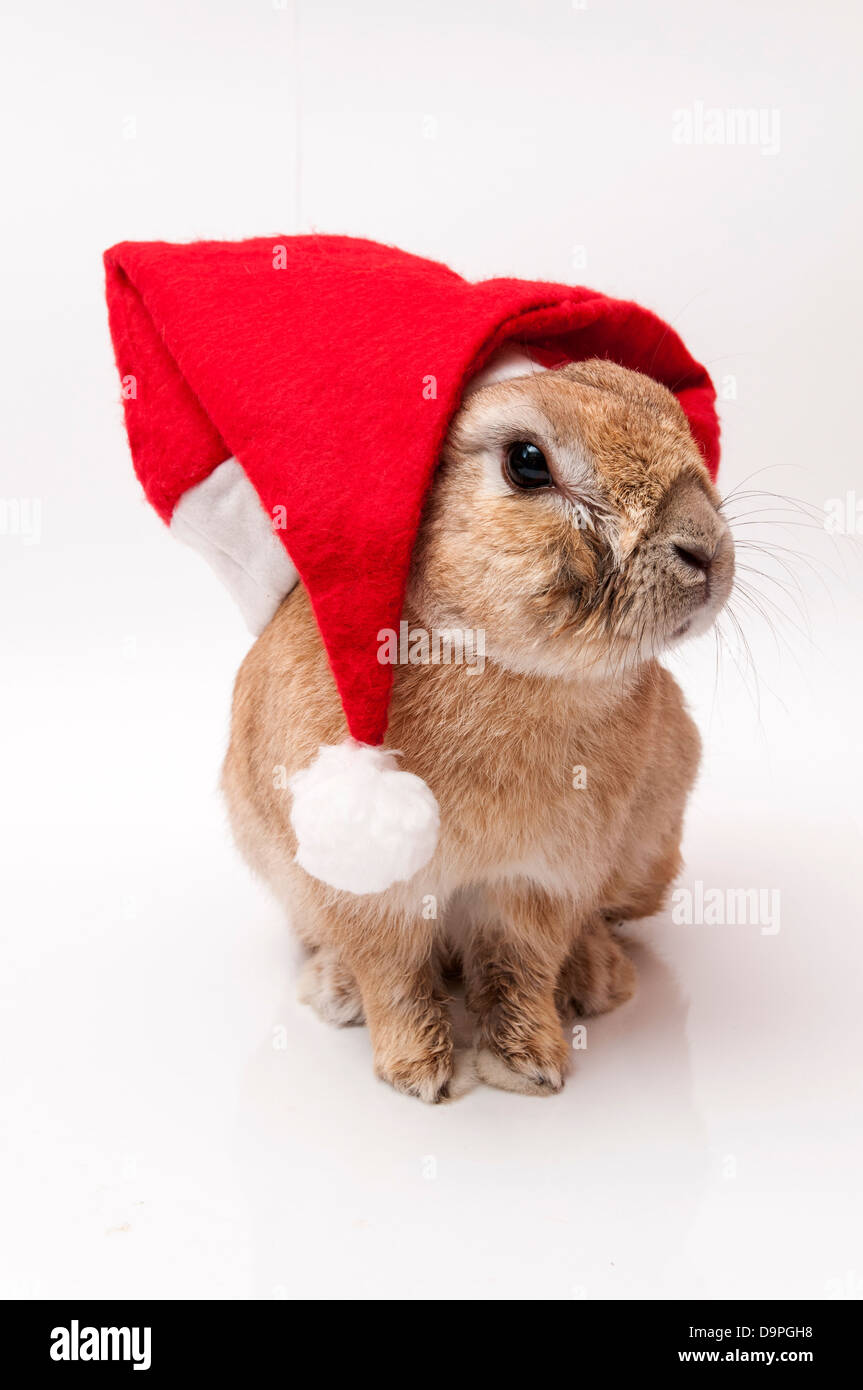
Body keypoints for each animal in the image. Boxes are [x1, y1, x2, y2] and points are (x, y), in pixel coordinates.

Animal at [222, 357, 735, 1102]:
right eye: (526, 463)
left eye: (670, 410)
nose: (705, 551)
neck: (495, 660)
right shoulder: (373, 892)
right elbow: (394, 975)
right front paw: (420, 1075)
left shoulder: (542, 880)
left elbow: (520, 965)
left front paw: (529, 1065)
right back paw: (336, 990)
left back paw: (596, 978)